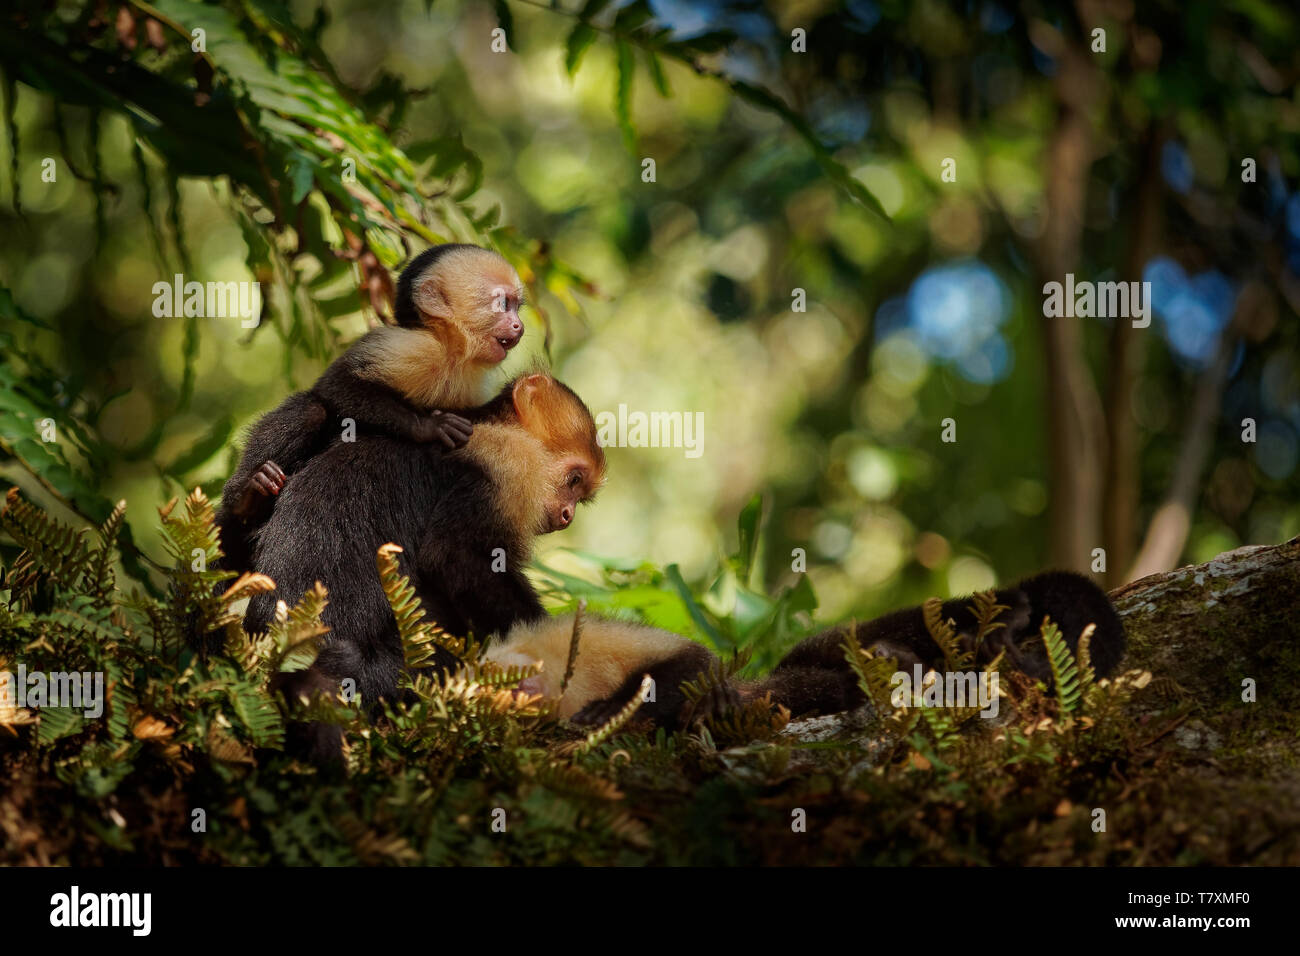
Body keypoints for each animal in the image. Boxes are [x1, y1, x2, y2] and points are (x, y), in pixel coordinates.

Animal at [213, 243, 527, 579]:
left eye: (517, 306)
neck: (451, 351)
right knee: (312, 409)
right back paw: (246, 497)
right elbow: (339, 384)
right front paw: (428, 426)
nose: (519, 326)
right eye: (502, 304)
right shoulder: (410, 346)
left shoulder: (471, 384)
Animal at [241, 371, 606, 765]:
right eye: (573, 480)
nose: (568, 516)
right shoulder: (512, 464)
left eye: (580, 495)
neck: (491, 424)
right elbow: (452, 556)